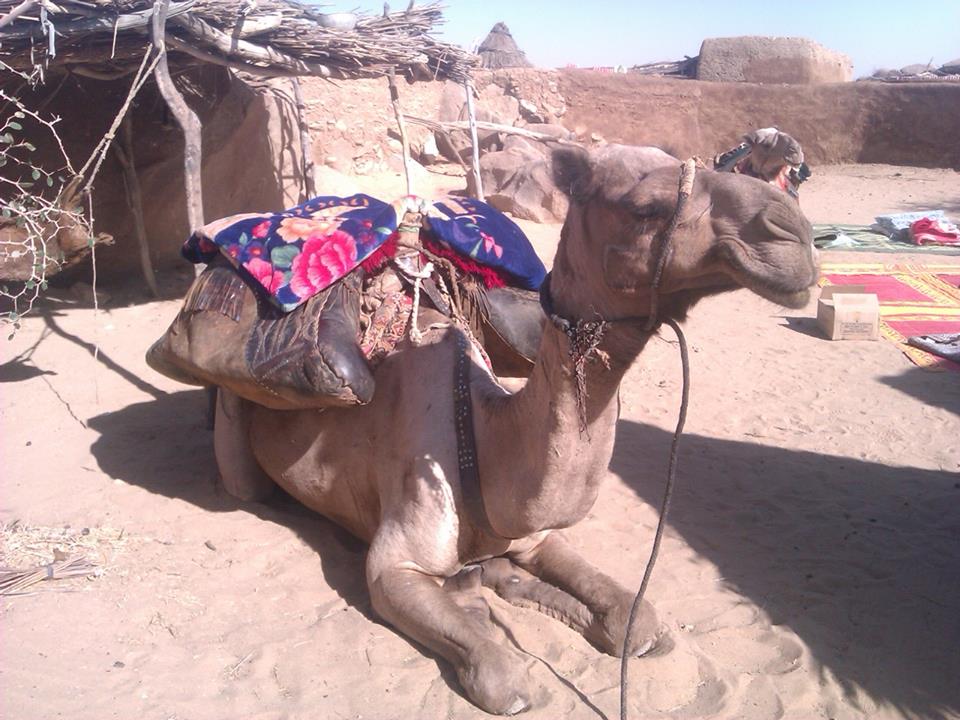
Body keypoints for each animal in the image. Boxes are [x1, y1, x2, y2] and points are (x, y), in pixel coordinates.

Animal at [209, 144, 819, 714]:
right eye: (644, 207)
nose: (792, 233)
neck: (480, 439)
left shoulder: (535, 535)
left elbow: (636, 616)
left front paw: (584, 613)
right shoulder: (394, 568)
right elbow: (503, 679)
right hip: (235, 423)